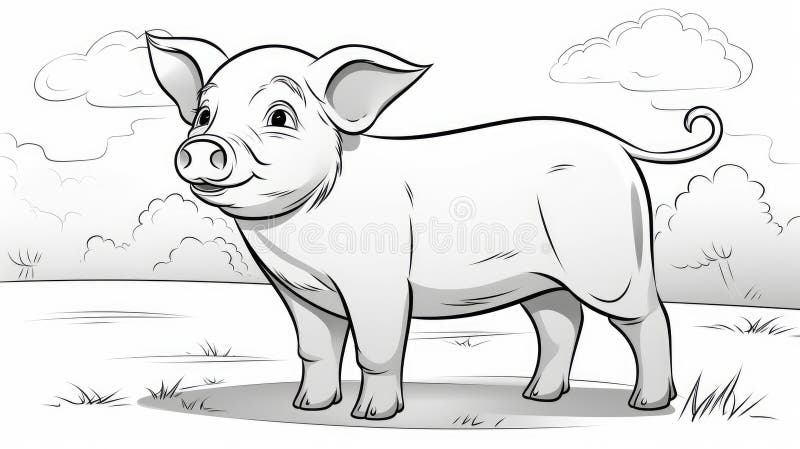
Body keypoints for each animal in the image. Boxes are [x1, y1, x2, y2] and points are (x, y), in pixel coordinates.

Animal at [147, 34, 722, 420]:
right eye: (203, 115)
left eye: (280, 117)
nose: (201, 146)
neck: (295, 230)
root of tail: (616, 144)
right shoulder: (297, 290)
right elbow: (315, 349)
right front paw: (307, 408)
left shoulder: (378, 283)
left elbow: (377, 349)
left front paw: (369, 417)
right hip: (543, 278)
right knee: (562, 321)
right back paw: (537, 396)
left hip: (612, 261)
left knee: (649, 318)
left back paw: (646, 405)